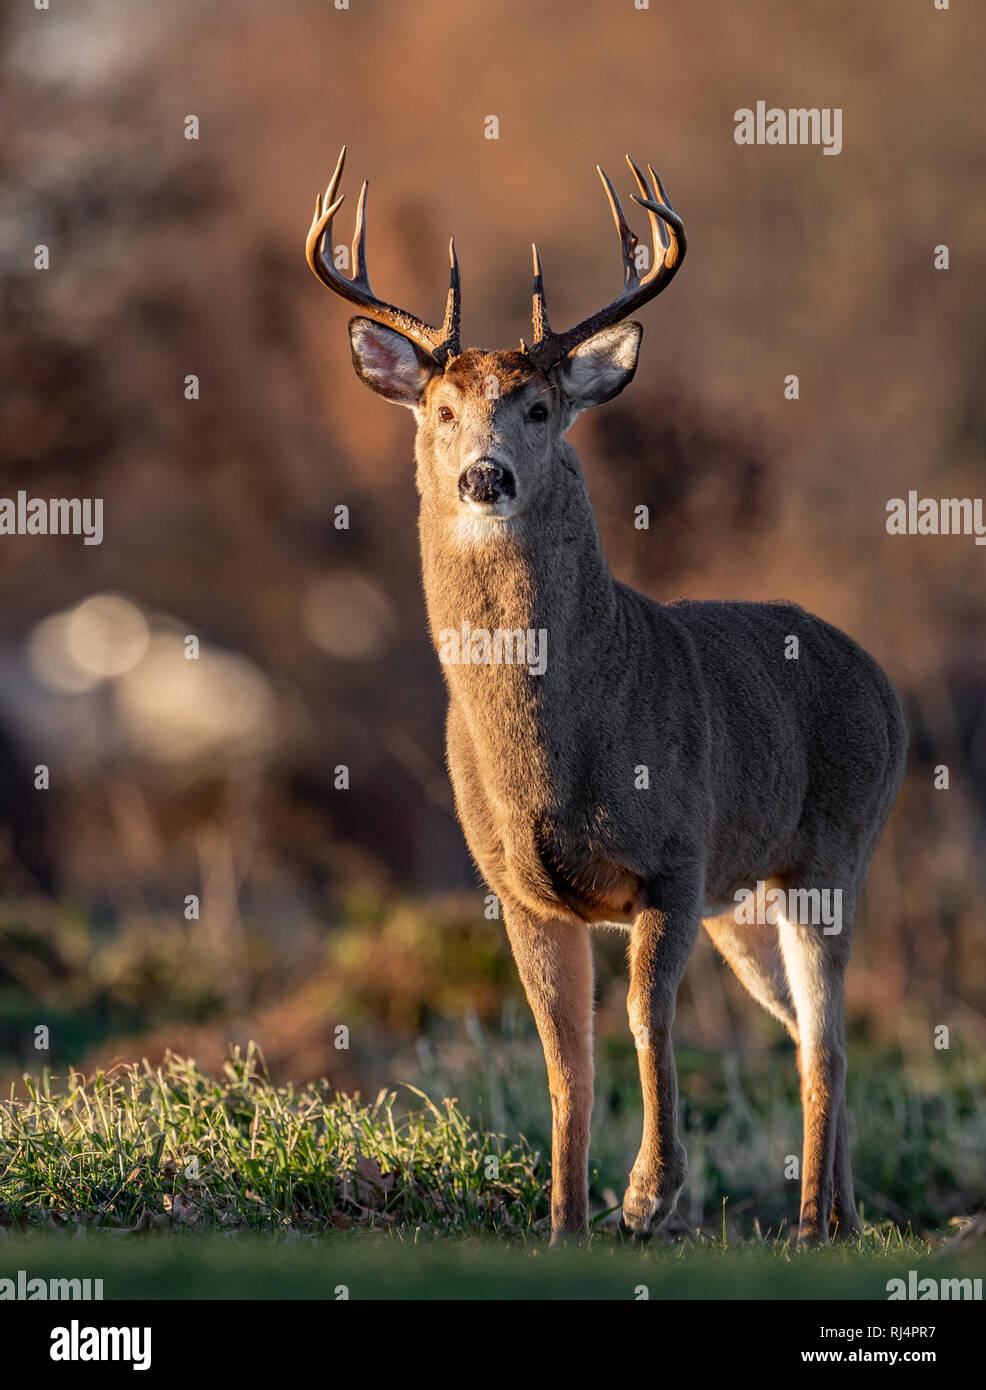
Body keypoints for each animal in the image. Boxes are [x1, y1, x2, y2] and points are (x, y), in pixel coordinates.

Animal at [306, 147, 907, 1244]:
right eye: (442, 409)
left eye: (539, 408)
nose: (485, 476)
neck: (556, 757)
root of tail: (880, 678)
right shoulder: (518, 889)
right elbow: (563, 1056)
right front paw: (563, 1220)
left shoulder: (672, 857)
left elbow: (644, 1018)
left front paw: (649, 1195)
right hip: (744, 897)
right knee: (810, 1026)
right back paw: (839, 1217)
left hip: (834, 847)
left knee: (827, 1036)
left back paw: (809, 1222)